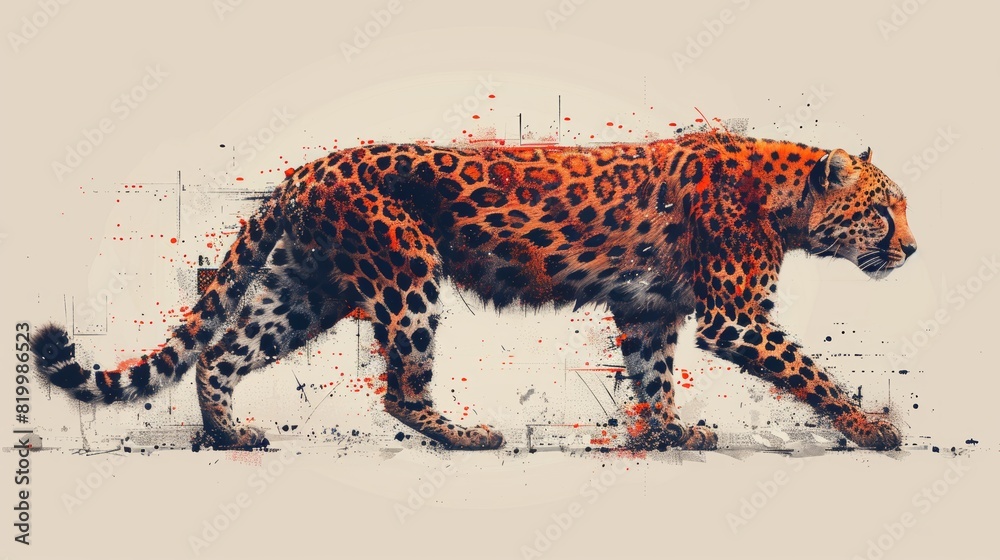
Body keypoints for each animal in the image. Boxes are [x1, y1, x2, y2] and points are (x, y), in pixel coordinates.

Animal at [32, 129, 916, 452]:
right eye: (882, 210)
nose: (911, 248)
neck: (789, 200)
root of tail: (310, 167)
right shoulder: (734, 318)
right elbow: (811, 372)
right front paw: (873, 428)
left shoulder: (649, 306)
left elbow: (654, 374)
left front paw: (669, 432)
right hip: (407, 272)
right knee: (398, 386)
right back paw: (464, 435)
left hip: (306, 285)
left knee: (221, 351)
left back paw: (230, 434)